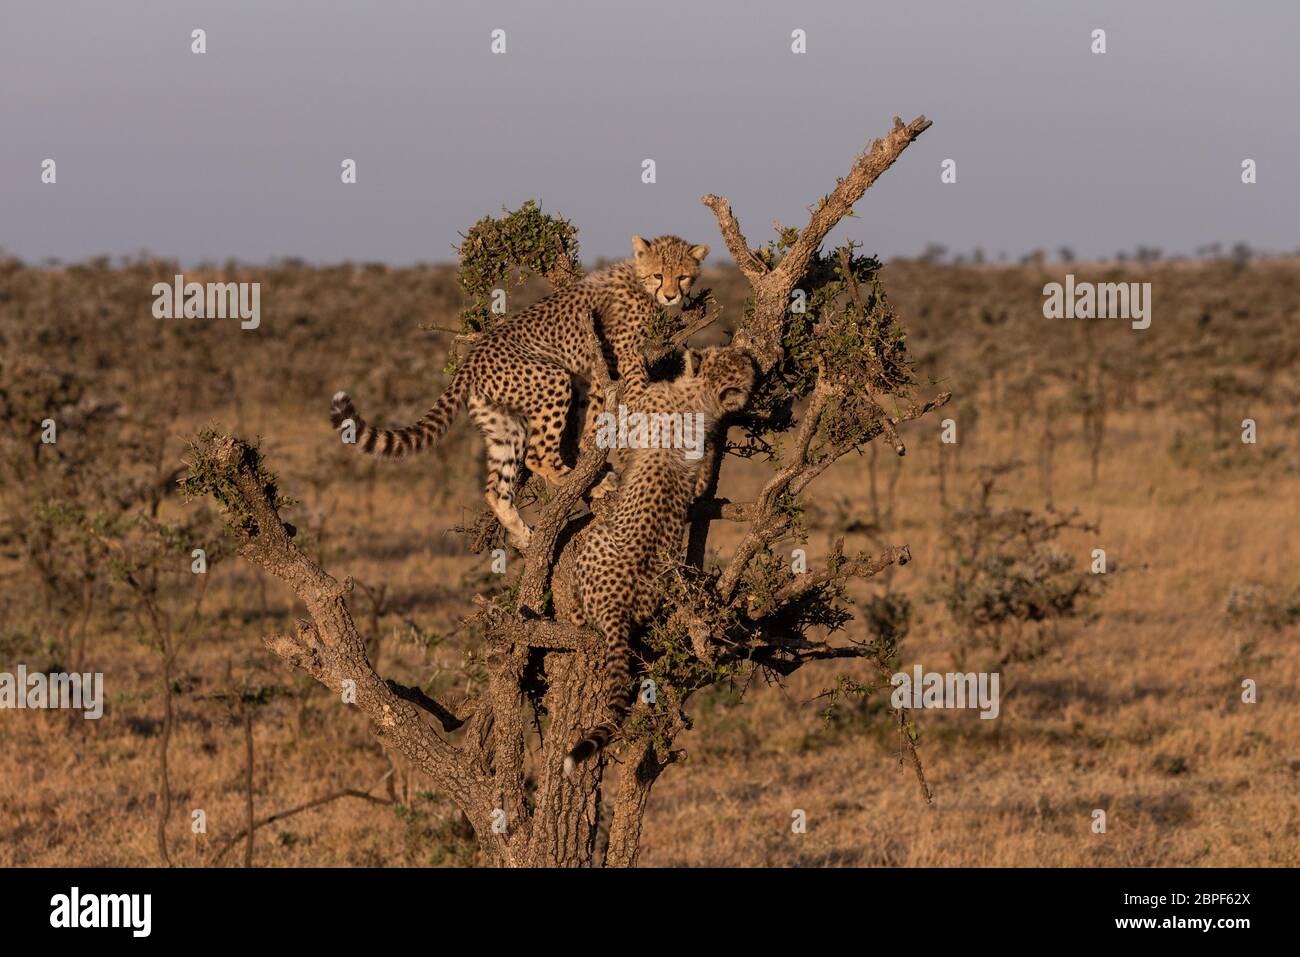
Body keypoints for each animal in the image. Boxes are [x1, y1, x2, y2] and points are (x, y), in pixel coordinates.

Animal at [330, 235, 709, 548]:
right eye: (659, 275)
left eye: (683, 276)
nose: (671, 295)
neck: (637, 282)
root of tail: (471, 358)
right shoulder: (616, 360)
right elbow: (619, 401)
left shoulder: (594, 377)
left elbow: (590, 420)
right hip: (553, 380)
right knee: (538, 455)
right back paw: (583, 481)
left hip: (502, 423)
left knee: (495, 487)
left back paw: (524, 532)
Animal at [552, 346, 756, 775]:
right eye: (730, 356)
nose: (747, 353)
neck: (698, 400)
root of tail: (619, 606)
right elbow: (701, 479)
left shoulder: (637, 415)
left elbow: (631, 384)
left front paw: (630, 357)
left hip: (595, 539)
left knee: (580, 608)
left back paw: (573, 614)